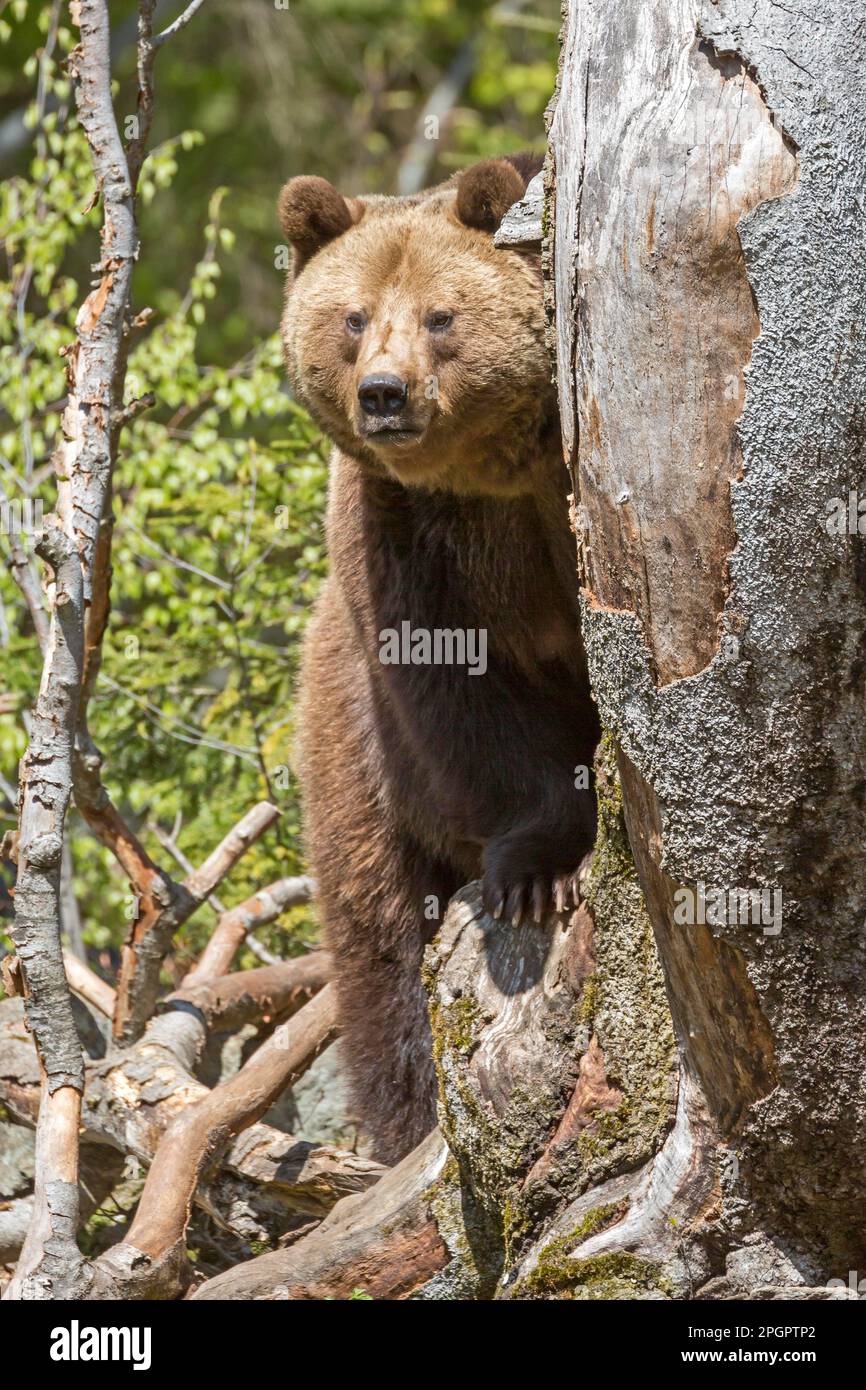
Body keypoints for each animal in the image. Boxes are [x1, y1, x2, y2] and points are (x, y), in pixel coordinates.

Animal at [277, 154, 600, 1164]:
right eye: (352, 317)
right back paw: (409, 1114)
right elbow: (464, 701)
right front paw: (537, 866)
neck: (499, 472)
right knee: (381, 950)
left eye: (440, 315)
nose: (385, 394)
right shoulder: (409, 541)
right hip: (355, 769)